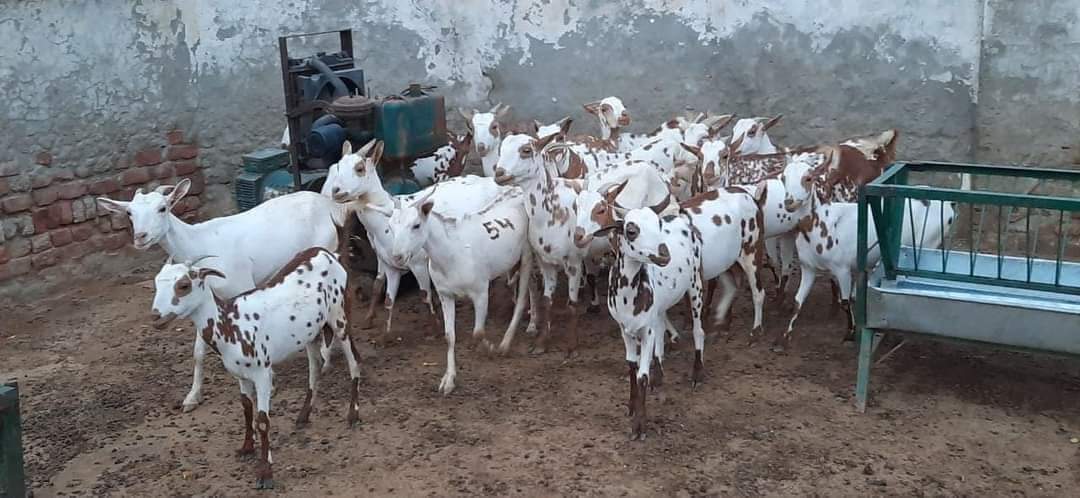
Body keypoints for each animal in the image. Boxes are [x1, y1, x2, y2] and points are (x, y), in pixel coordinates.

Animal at [97, 181, 349, 412]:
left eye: (163, 208)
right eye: (129, 213)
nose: (141, 237)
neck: (200, 242)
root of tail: (332, 206)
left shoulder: (242, 287)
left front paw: (270, 381)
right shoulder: (205, 300)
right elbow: (198, 353)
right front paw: (192, 397)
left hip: (328, 249)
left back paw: (326, 357)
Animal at [149, 248, 362, 489]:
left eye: (184, 285)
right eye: (157, 282)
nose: (156, 316)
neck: (230, 326)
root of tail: (328, 254)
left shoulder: (263, 374)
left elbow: (262, 421)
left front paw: (265, 473)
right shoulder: (240, 375)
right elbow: (246, 409)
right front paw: (246, 448)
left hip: (340, 315)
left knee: (354, 360)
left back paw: (353, 415)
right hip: (310, 331)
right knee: (315, 367)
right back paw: (303, 415)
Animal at [388, 187, 533, 395]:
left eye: (416, 225)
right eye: (391, 227)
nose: (398, 257)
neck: (452, 254)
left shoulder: (481, 290)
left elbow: (478, 333)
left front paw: (490, 348)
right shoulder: (445, 294)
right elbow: (449, 336)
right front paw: (448, 381)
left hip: (529, 252)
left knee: (524, 296)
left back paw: (506, 343)